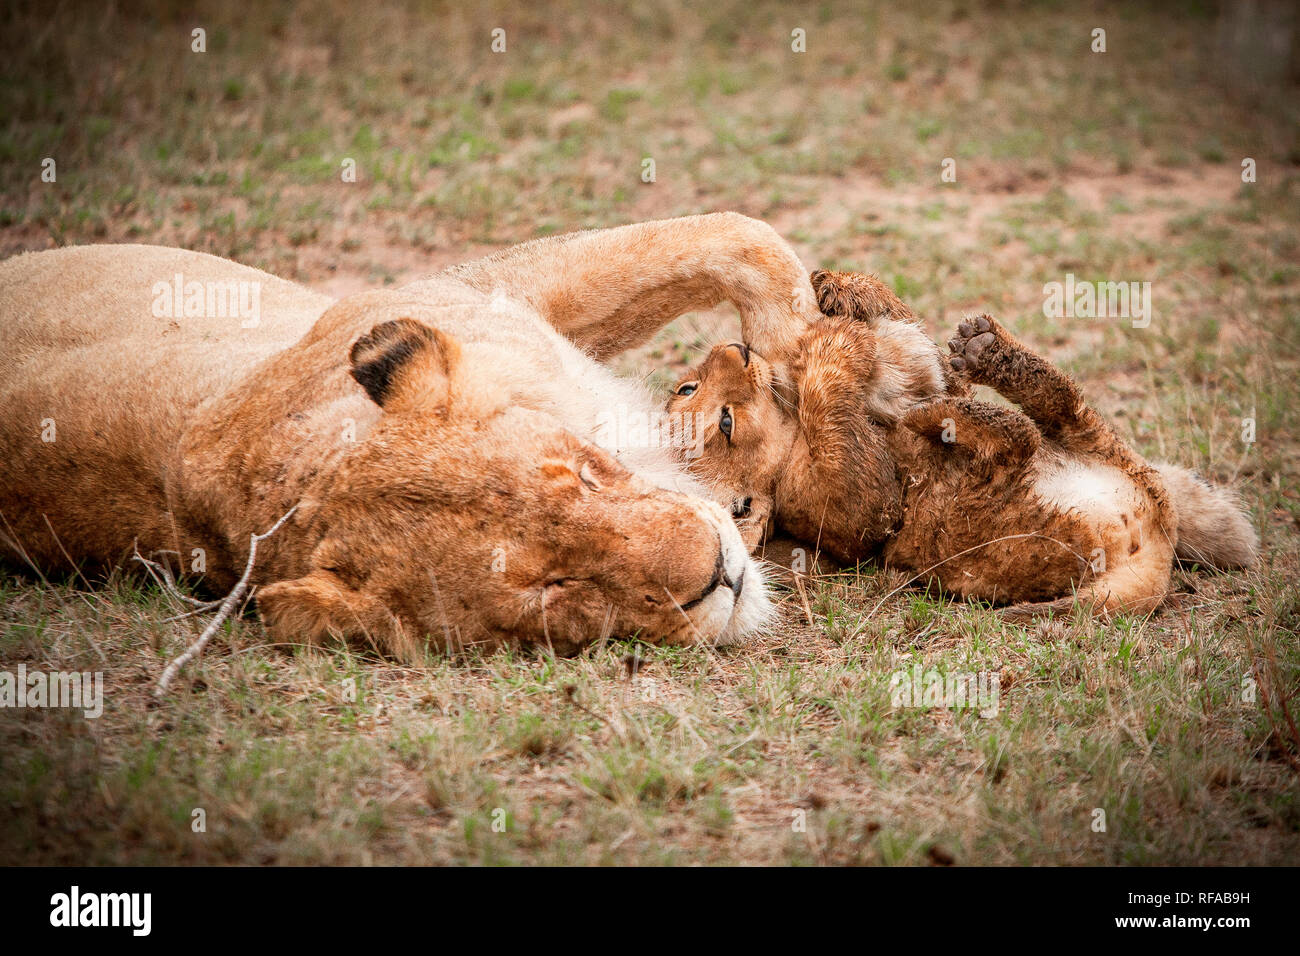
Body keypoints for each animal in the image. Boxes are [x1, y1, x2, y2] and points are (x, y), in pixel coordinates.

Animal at [0, 213, 825, 659]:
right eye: (554, 589)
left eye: (584, 472)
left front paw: (803, 355)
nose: (718, 571)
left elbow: (739, 240)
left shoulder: (490, 293)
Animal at [667, 271, 1258, 617]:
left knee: (1056, 404)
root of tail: (1155, 542)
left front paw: (839, 287)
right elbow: (849, 472)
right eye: (724, 424)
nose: (735, 349)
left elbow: (915, 343)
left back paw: (984, 351)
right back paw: (949, 415)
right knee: (1016, 441)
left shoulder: (932, 378)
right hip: (996, 514)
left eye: (684, 387)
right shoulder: (856, 516)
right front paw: (833, 343)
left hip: (1103, 446)